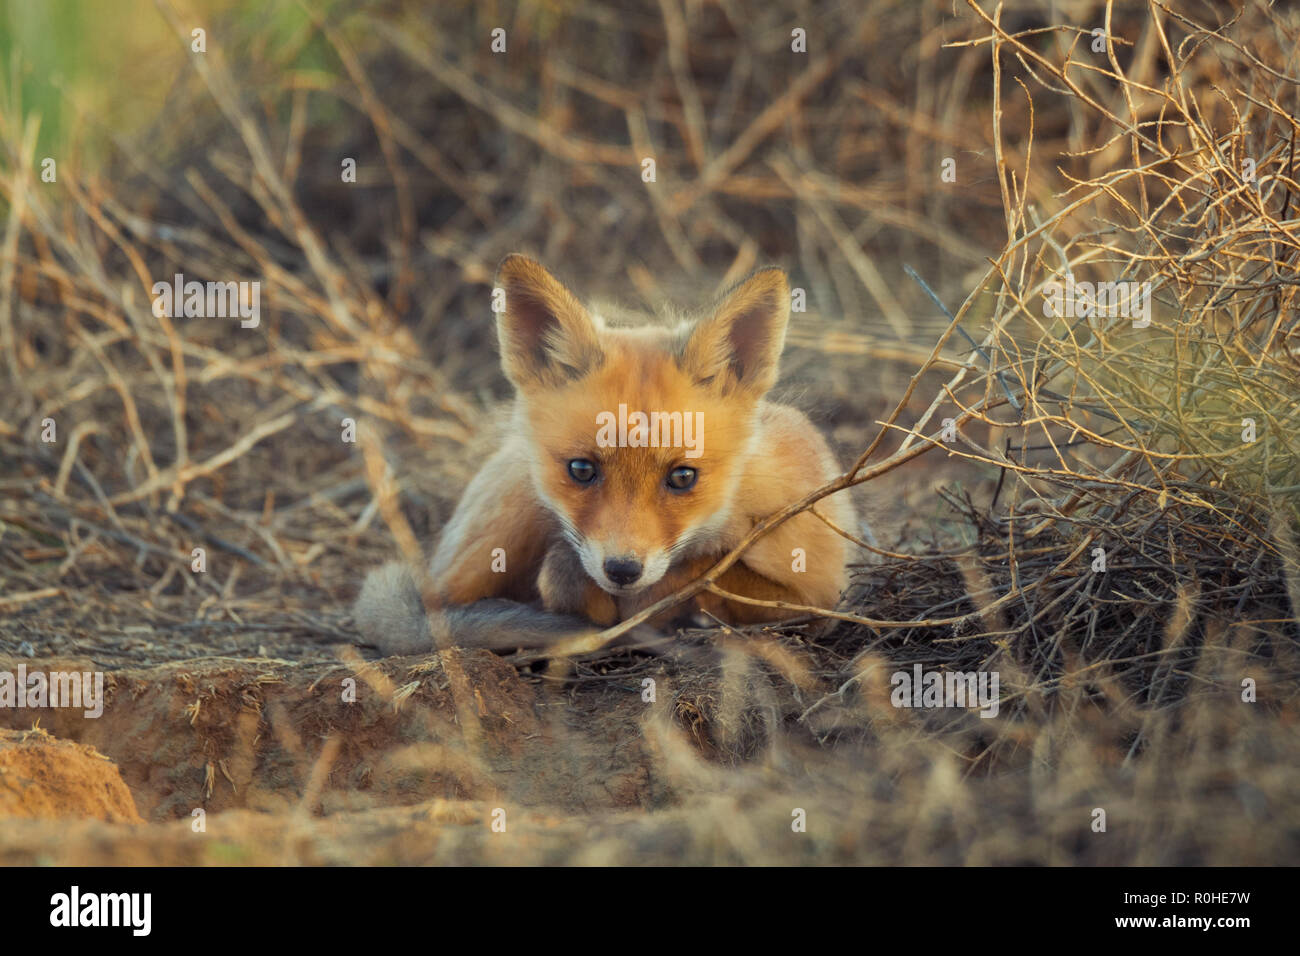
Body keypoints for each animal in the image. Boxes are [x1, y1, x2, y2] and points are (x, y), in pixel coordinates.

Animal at [352, 255, 858, 655]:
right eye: (582, 469)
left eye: (682, 477)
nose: (622, 570)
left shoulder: (822, 591)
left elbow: (706, 577)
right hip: (504, 520)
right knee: (439, 608)